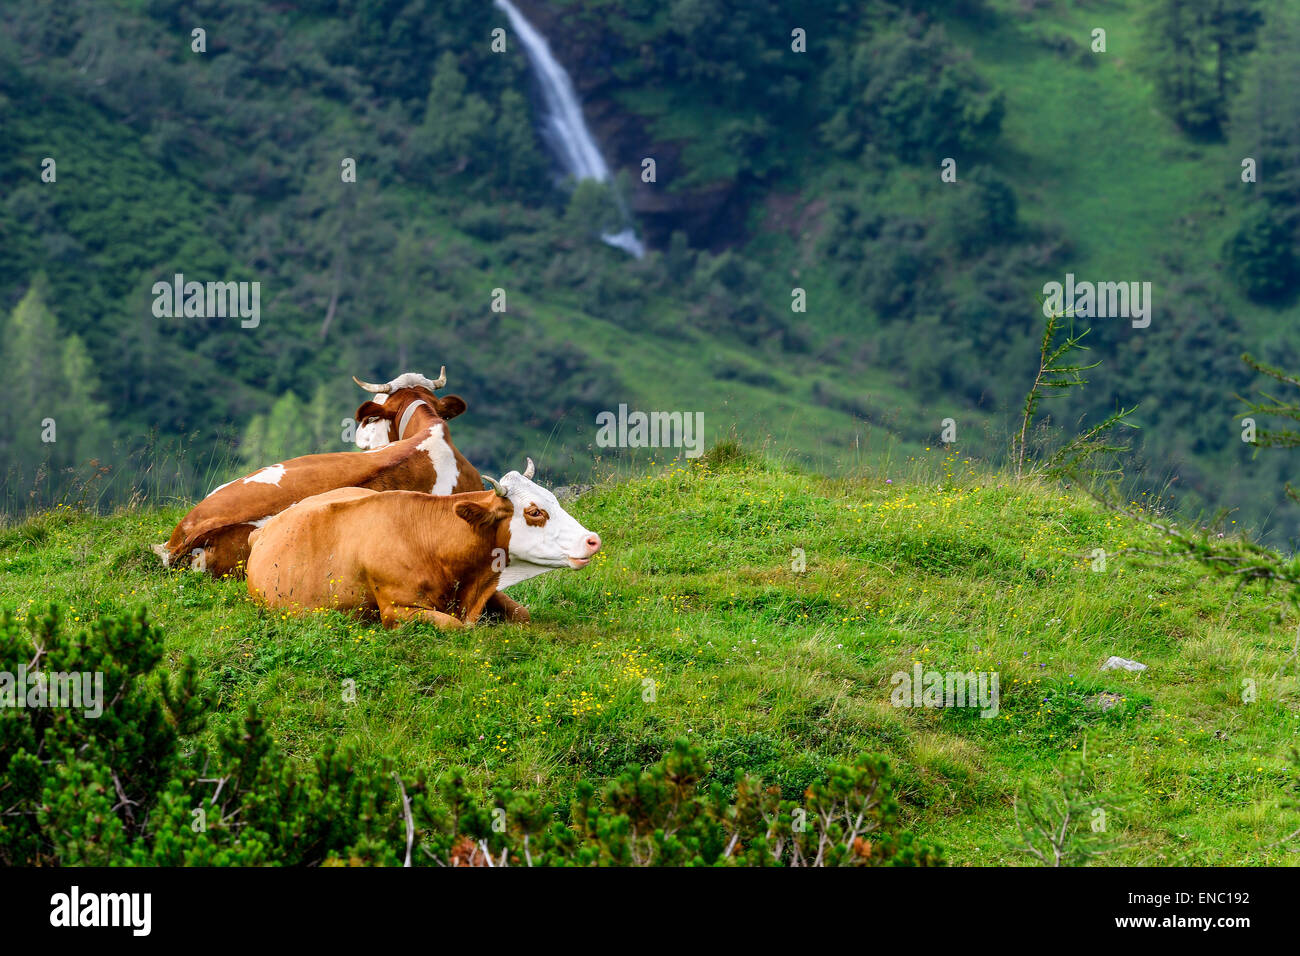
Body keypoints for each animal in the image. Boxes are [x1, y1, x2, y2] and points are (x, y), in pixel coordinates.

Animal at [245, 463, 600, 629]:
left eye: (553, 498)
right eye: (535, 512)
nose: (592, 539)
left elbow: (522, 613)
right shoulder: (395, 610)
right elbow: (455, 627)